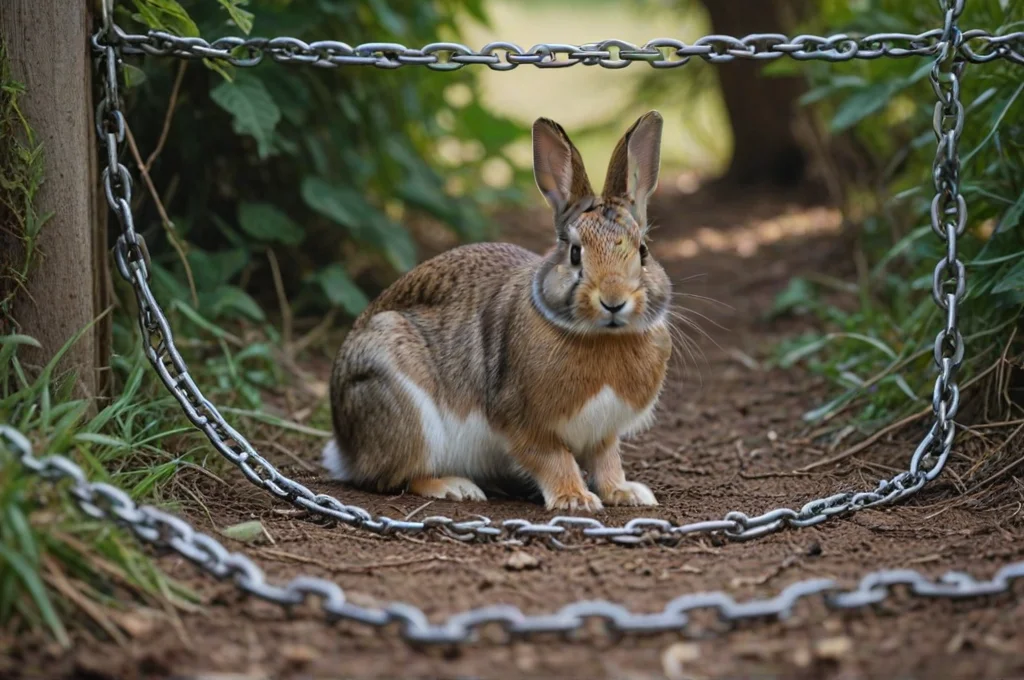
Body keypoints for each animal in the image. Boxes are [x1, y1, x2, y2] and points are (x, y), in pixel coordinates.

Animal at [322, 111, 672, 512]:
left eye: (643, 251)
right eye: (574, 253)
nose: (614, 300)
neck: (601, 335)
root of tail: (345, 446)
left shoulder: (604, 432)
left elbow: (607, 460)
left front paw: (625, 493)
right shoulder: (522, 421)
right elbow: (553, 458)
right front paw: (575, 499)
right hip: (401, 402)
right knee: (399, 475)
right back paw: (456, 487)